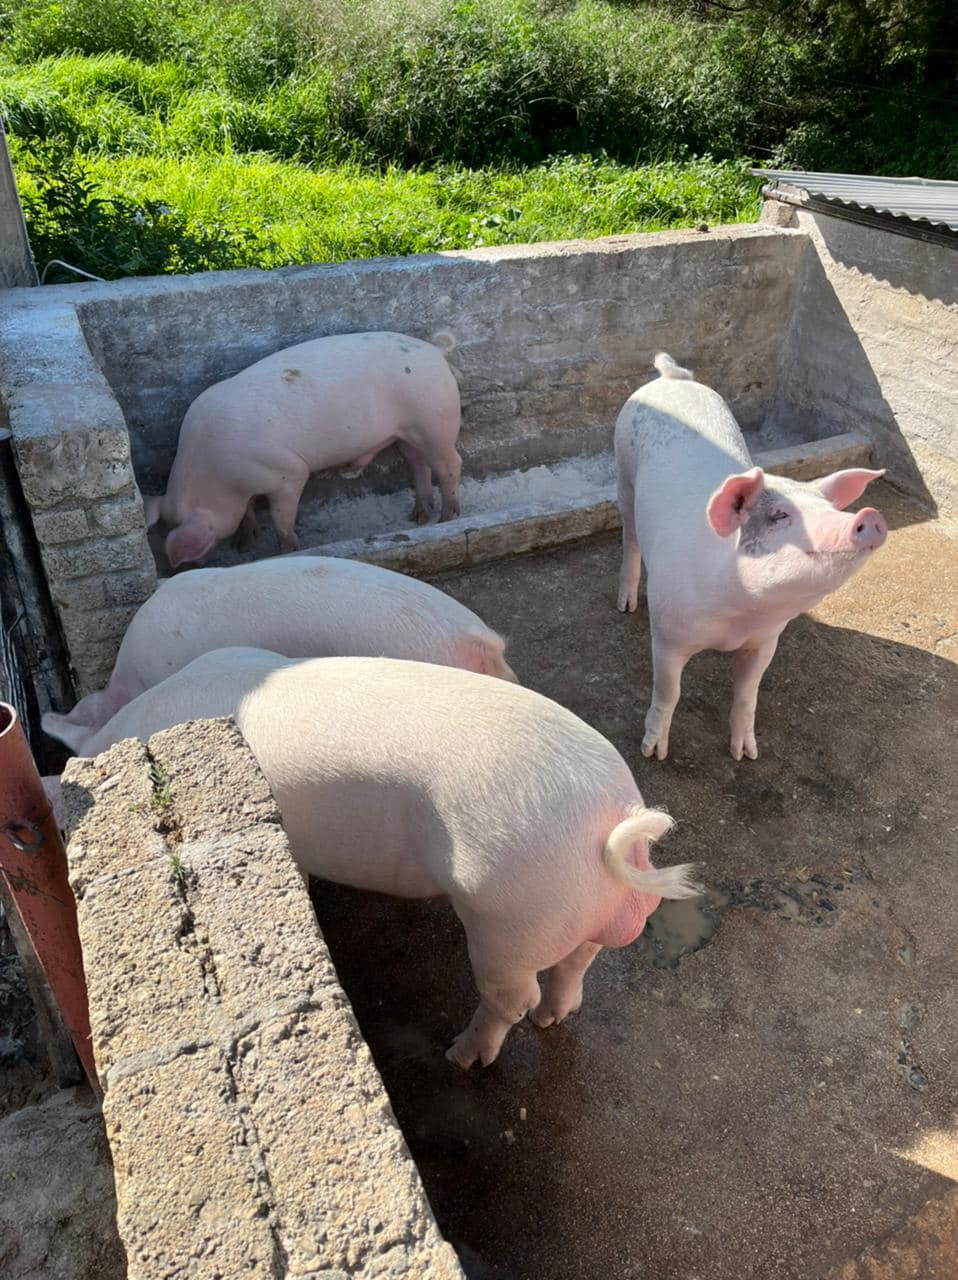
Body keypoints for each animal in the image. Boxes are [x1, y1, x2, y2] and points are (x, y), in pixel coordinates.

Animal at [78, 649, 700, 1068]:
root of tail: (614, 812)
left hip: (510, 914)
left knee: (512, 998)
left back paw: (460, 1057)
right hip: (572, 910)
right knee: (578, 963)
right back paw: (553, 1016)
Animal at [144, 331, 463, 567]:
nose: (179, 568)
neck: (218, 475)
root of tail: (434, 350)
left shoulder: (288, 473)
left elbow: (281, 518)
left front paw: (287, 550)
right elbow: (248, 509)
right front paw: (244, 543)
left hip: (435, 421)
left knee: (451, 463)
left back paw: (447, 517)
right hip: (408, 432)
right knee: (418, 462)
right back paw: (418, 516)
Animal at [615, 353, 887, 761]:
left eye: (828, 508)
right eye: (780, 516)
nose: (869, 516)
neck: (739, 615)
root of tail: (671, 377)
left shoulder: (766, 640)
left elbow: (748, 694)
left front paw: (746, 755)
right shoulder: (667, 633)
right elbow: (669, 692)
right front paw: (653, 753)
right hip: (623, 471)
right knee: (630, 538)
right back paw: (626, 605)